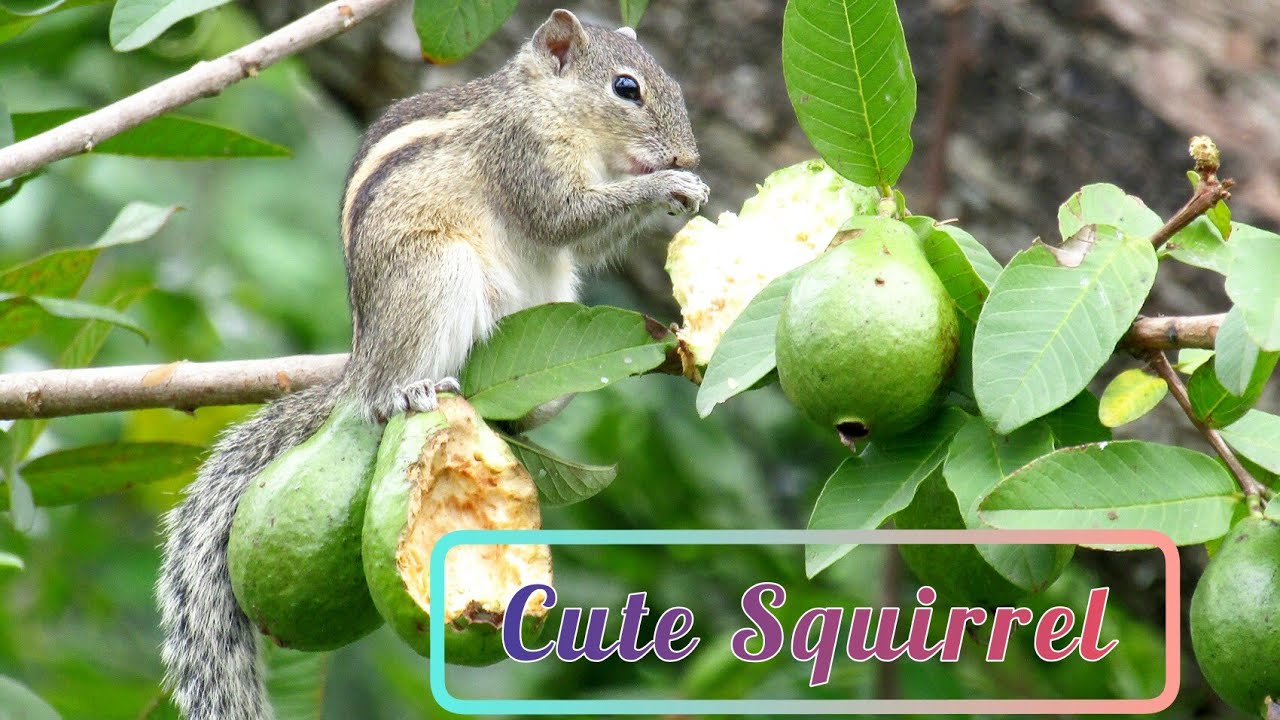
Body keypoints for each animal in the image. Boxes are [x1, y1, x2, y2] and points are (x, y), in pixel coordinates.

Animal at [155, 9, 707, 720]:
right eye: (626, 88)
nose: (688, 156)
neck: (542, 105)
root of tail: (362, 364)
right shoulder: (524, 157)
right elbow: (563, 218)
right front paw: (666, 186)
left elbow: (586, 238)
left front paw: (686, 191)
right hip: (435, 273)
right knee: (384, 395)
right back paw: (410, 391)